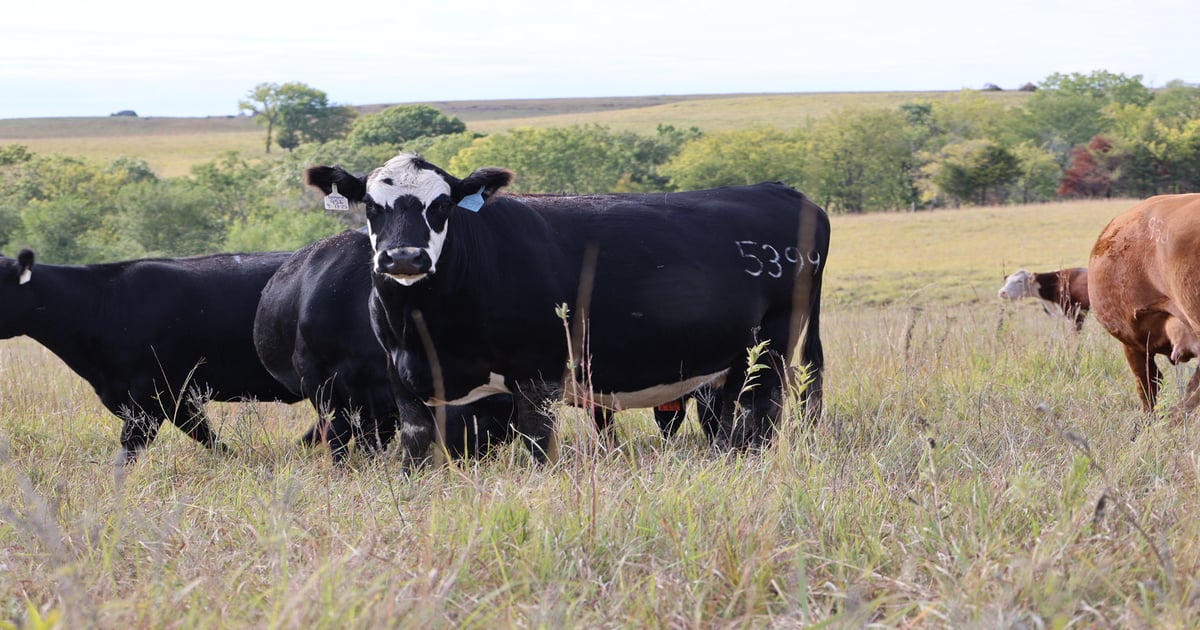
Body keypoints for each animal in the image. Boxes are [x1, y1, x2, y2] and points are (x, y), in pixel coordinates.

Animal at [303, 153, 829, 467]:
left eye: (443, 205)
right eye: (372, 206)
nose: (404, 258)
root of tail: (781, 190)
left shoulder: (537, 373)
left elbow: (538, 443)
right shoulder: (403, 376)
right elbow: (414, 447)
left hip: (770, 347)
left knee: (759, 415)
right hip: (731, 361)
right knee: (729, 421)